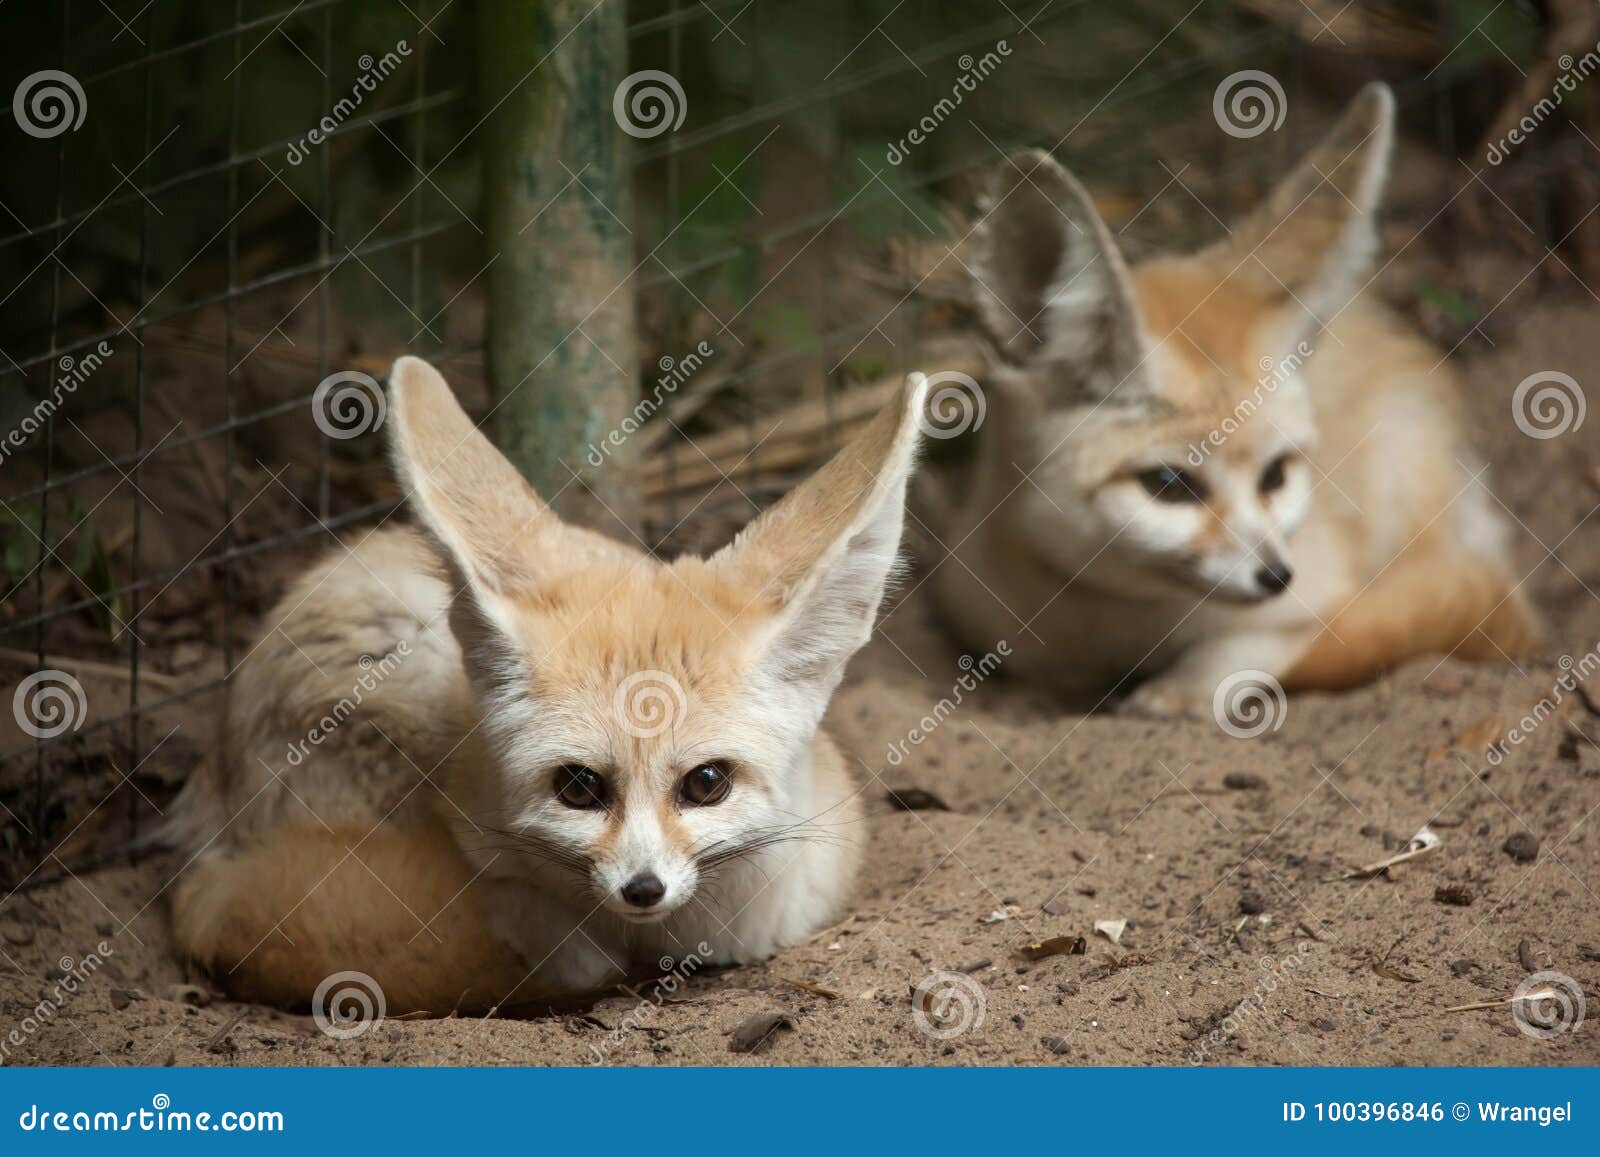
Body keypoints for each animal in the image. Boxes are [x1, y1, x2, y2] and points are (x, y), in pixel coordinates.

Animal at [922, 83, 1540, 716]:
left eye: (1276, 476)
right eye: (1169, 485)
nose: (1276, 577)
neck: (1125, 630)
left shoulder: (1318, 592)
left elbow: (1271, 645)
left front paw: (1180, 688)